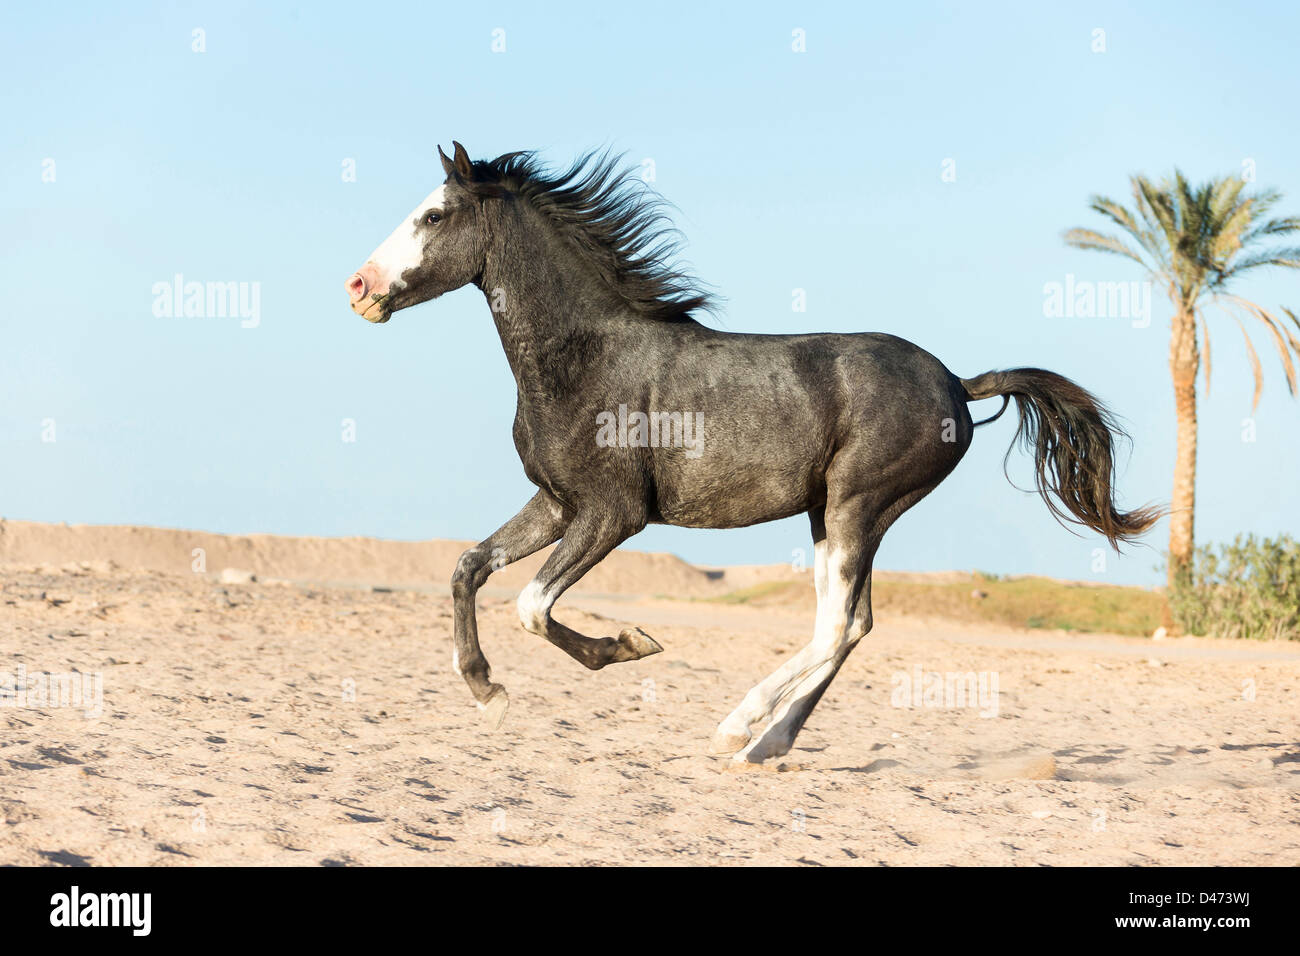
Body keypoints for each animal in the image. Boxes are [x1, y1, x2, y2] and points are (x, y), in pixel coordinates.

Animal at [344, 142, 1160, 763]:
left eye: (434, 215)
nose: (358, 286)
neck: (586, 357)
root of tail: (958, 383)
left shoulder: (613, 513)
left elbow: (532, 605)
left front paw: (631, 645)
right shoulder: (556, 503)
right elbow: (469, 568)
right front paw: (486, 691)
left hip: (859, 504)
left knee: (835, 627)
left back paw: (737, 726)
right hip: (832, 515)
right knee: (853, 625)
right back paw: (768, 745)